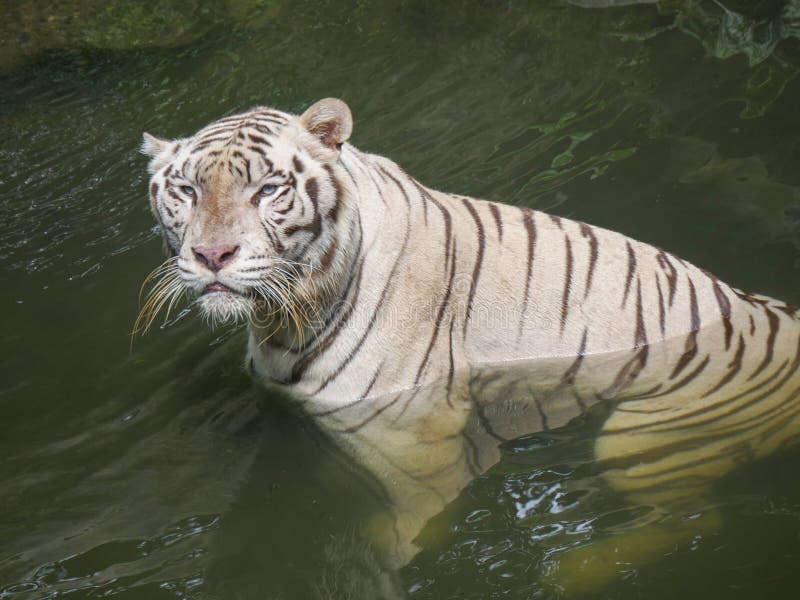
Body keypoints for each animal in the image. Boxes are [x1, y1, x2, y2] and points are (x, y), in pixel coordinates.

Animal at [140, 98, 800, 595]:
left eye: (268, 190)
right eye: (187, 192)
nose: (212, 255)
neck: (281, 318)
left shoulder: (414, 438)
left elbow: (408, 523)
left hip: (643, 440)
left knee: (697, 517)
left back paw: (573, 570)